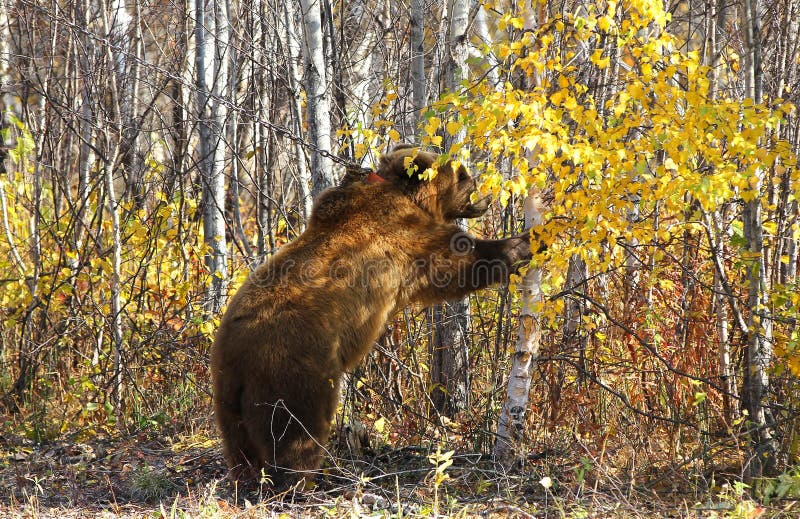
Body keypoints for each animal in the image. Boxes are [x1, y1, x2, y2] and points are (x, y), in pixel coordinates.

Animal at [210, 145, 539, 487]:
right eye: (462, 174)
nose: (482, 188)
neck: (411, 198)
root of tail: (238, 355)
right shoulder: (407, 241)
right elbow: (460, 261)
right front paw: (528, 239)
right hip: (296, 371)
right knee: (296, 432)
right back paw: (301, 482)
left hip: (226, 395)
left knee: (239, 446)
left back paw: (247, 478)